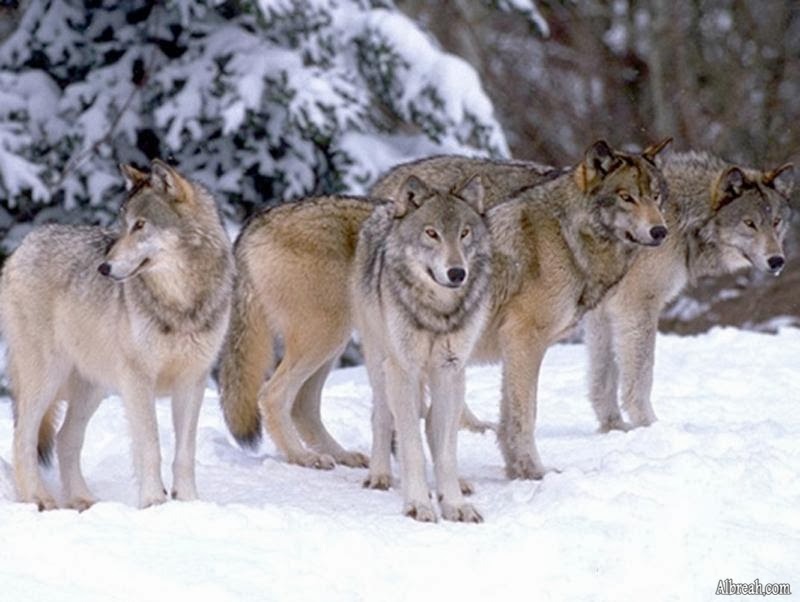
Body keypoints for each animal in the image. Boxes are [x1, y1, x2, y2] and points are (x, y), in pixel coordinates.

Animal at [0, 160, 234, 510]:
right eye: (121, 226)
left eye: (140, 225)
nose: (104, 268)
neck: (181, 303)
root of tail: (24, 245)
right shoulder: (138, 380)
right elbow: (150, 447)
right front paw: (154, 502)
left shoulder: (193, 380)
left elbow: (184, 453)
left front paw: (190, 502)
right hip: (47, 378)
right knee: (22, 437)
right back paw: (38, 499)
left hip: (93, 387)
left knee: (65, 438)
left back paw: (82, 499)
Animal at [353, 174, 491, 522]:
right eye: (432, 233)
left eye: (464, 233)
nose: (457, 273)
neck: (438, 313)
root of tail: (388, 206)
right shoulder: (403, 369)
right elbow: (411, 447)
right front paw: (418, 503)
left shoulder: (449, 369)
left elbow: (446, 450)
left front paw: (454, 503)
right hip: (380, 363)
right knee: (382, 417)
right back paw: (379, 475)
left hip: (456, 378)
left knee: (432, 422)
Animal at [585, 152, 794, 431]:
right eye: (750, 224)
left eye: (776, 222)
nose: (777, 261)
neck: (681, 220)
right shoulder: (637, 307)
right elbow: (641, 376)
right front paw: (649, 426)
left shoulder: (601, 313)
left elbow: (602, 380)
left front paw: (614, 429)